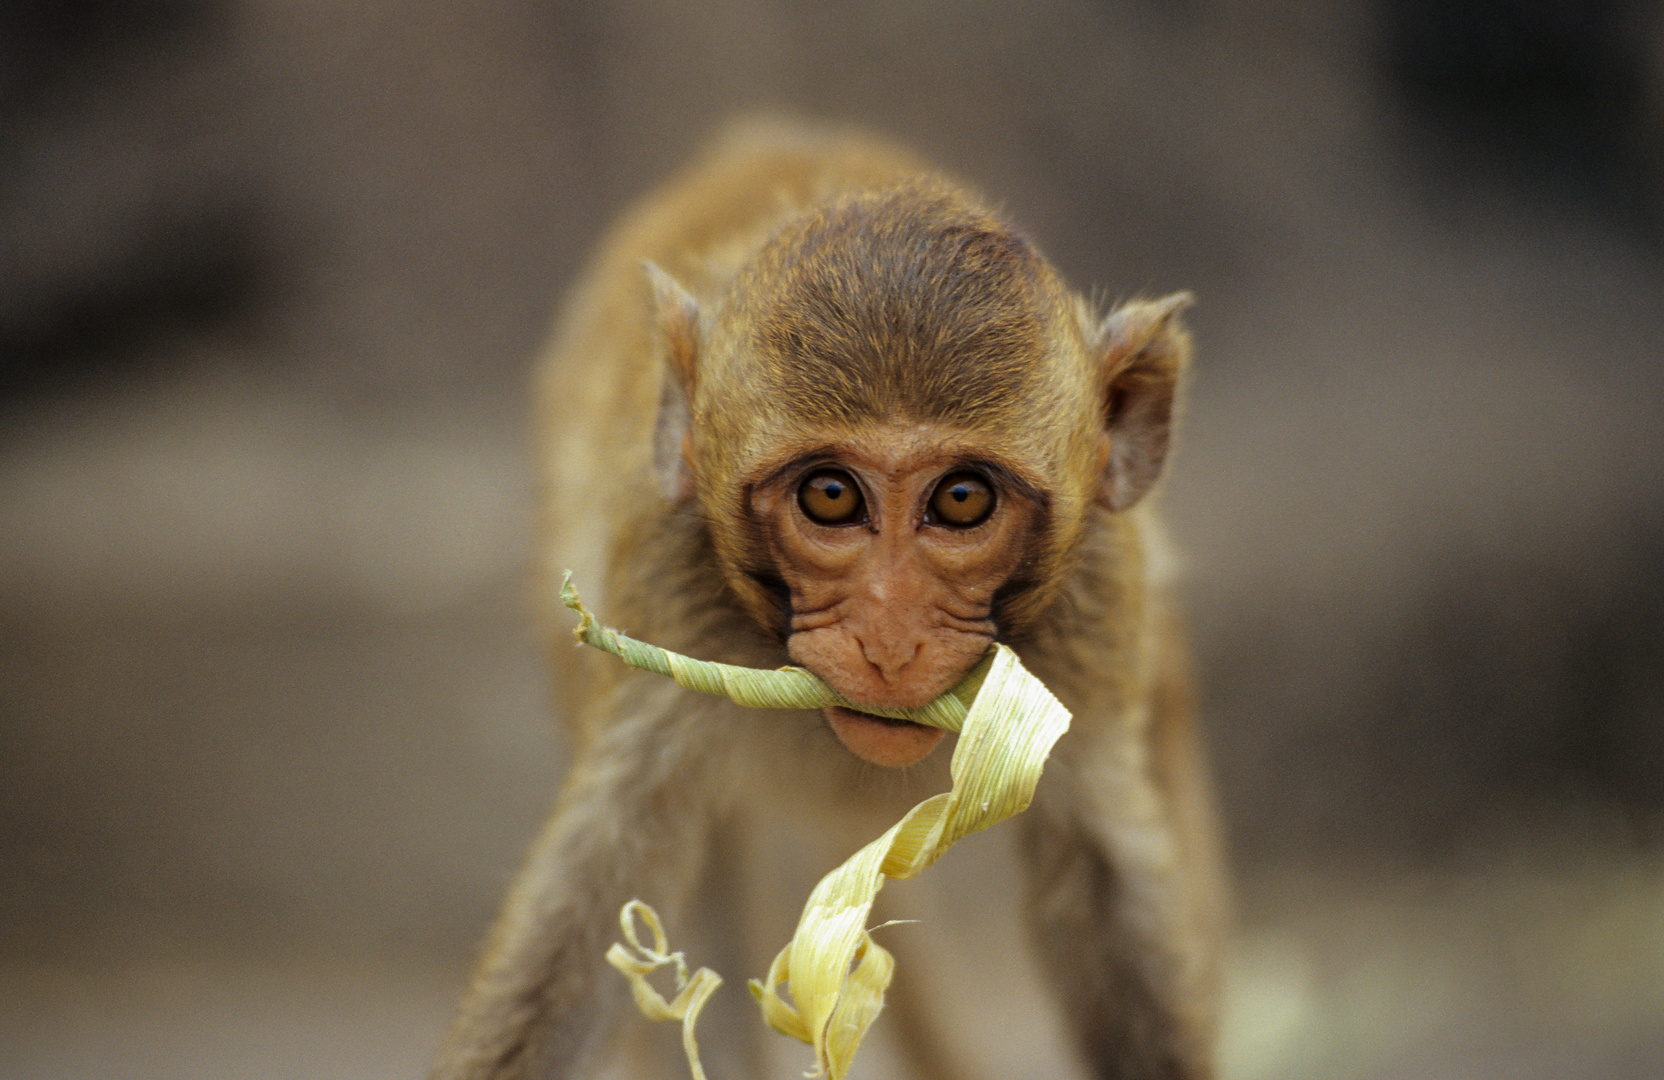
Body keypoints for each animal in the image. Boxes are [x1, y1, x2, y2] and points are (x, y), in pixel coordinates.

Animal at [430, 120, 1226, 1080]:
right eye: (832, 497)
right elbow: (603, 886)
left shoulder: (1097, 605)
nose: (888, 640)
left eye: (964, 500)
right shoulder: (664, 570)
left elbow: (1107, 885)